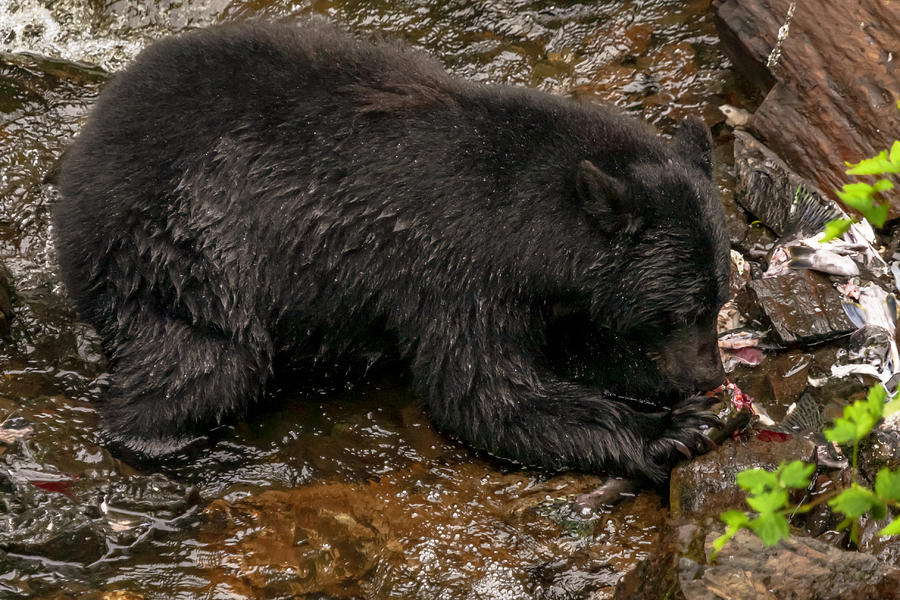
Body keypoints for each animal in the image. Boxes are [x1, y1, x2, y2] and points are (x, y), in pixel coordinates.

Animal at [52, 20, 729, 483]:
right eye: (677, 311)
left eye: (717, 303)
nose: (712, 375)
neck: (529, 226)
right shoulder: (456, 269)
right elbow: (483, 391)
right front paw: (671, 429)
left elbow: (571, 345)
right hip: (177, 249)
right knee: (201, 364)